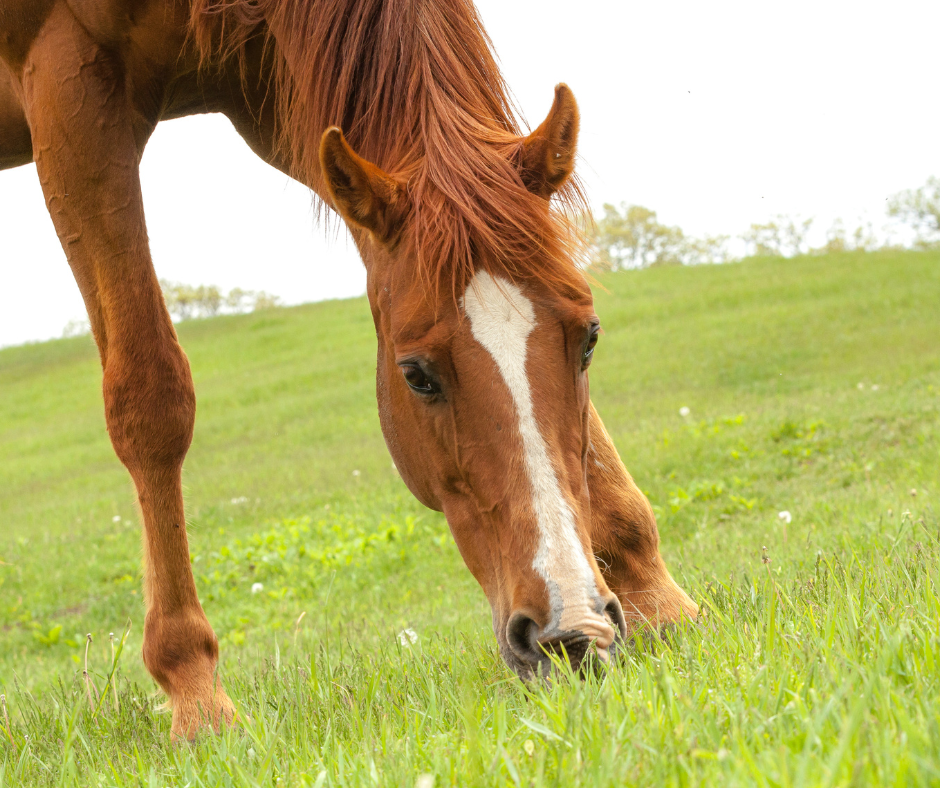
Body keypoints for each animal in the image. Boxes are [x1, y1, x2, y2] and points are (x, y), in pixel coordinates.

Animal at [0, 0, 697, 740]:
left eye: (588, 339)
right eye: (416, 375)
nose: (568, 631)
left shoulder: (289, 107)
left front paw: (654, 597)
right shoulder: (70, 94)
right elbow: (150, 395)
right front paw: (193, 688)